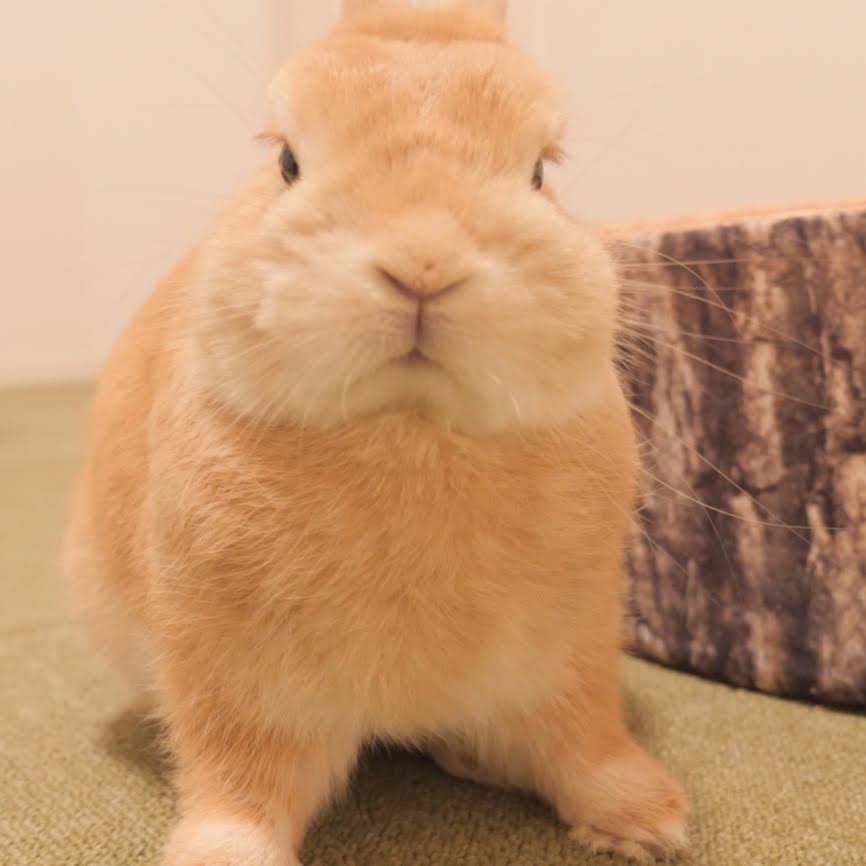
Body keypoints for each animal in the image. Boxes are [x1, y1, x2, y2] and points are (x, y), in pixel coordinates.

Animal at [64, 1, 687, 863]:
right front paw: (223, 852)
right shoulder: (235, 680)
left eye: (541, 172)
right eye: (287, 161)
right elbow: (237, 778)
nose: (423, 265)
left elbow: (585, 739)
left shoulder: (570, 650)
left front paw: (650, 823)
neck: (409, 429)